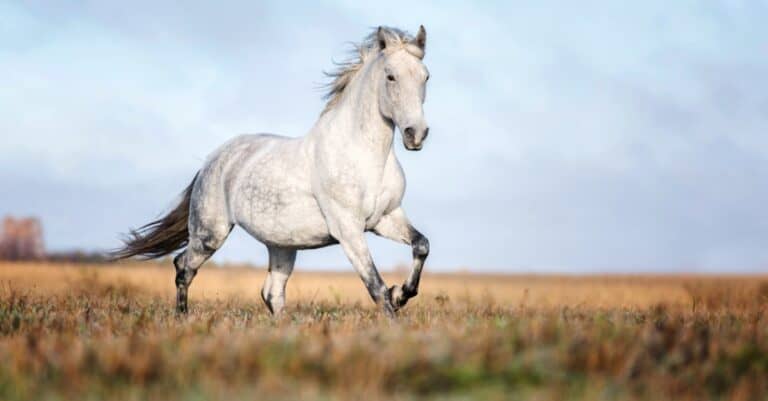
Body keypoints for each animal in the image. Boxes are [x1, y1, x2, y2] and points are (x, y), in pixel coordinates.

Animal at [113, 26, 431, 318]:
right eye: (390, 76)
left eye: (425, 76)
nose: (416, 134)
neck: (365, 157)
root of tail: (210, 161)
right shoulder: (348, 229)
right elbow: (375, 286)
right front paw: (393, 312)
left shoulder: (386, 218)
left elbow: (421, 246)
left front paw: (402, 293)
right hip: (210, 233)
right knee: (183, 267)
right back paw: (183, 318)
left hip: (281, 245)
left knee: (272, 293)